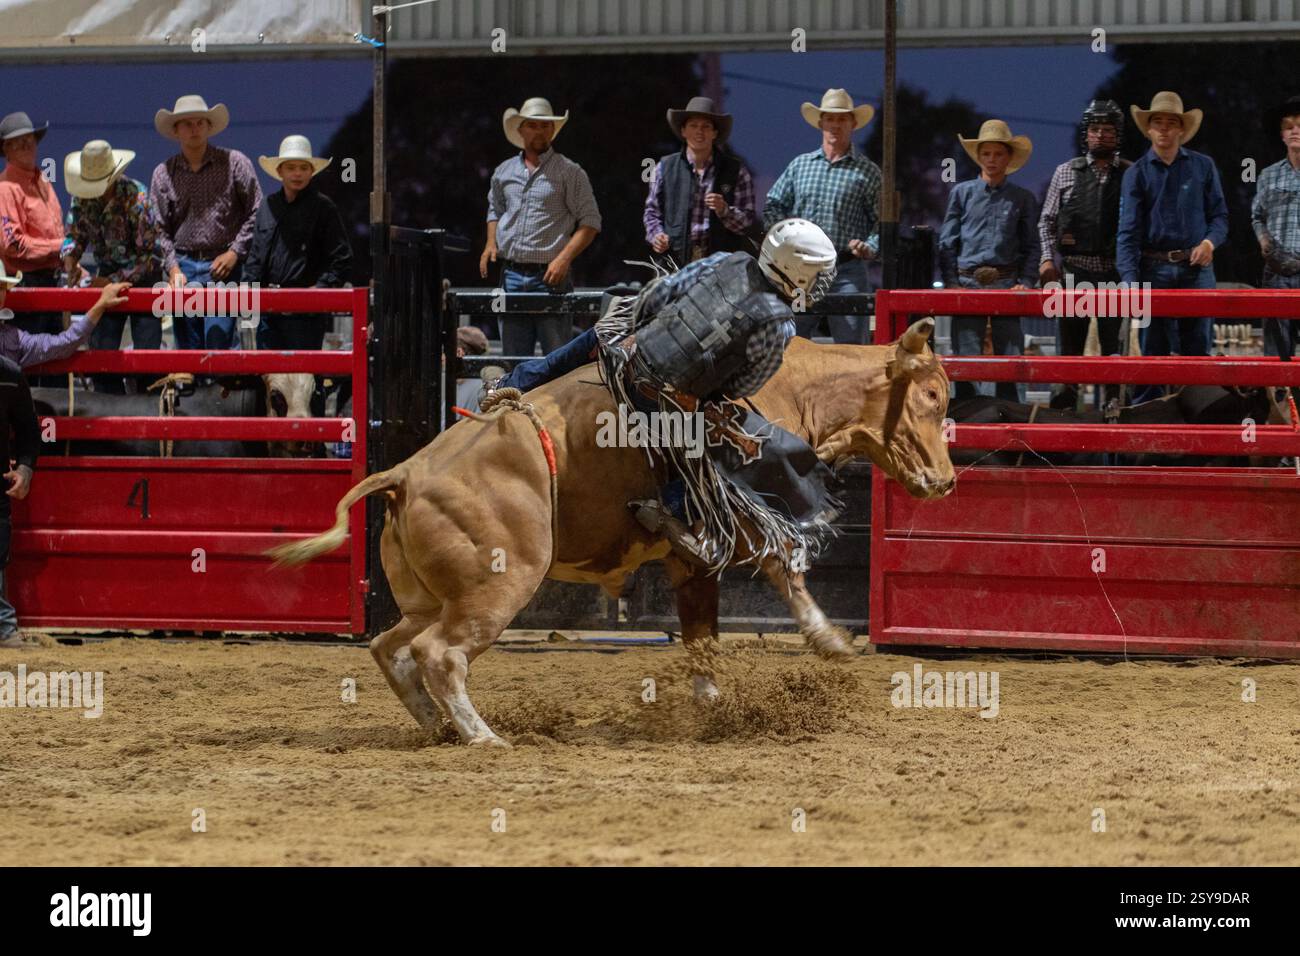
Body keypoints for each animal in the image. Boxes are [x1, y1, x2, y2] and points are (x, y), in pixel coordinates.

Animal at [270, 320, 954, 746]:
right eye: (932, 395)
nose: (945, 480)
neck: (795, 388)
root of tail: (406, 472)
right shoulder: (743, 508)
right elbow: (784, 561)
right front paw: (831, 641)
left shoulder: (693, 561)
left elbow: (701, 638)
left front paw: (710, 708)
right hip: (498, 583)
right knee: (439, 654)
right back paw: (484, 736)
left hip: (429, 597)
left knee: (391, 646)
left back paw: (437, 727)